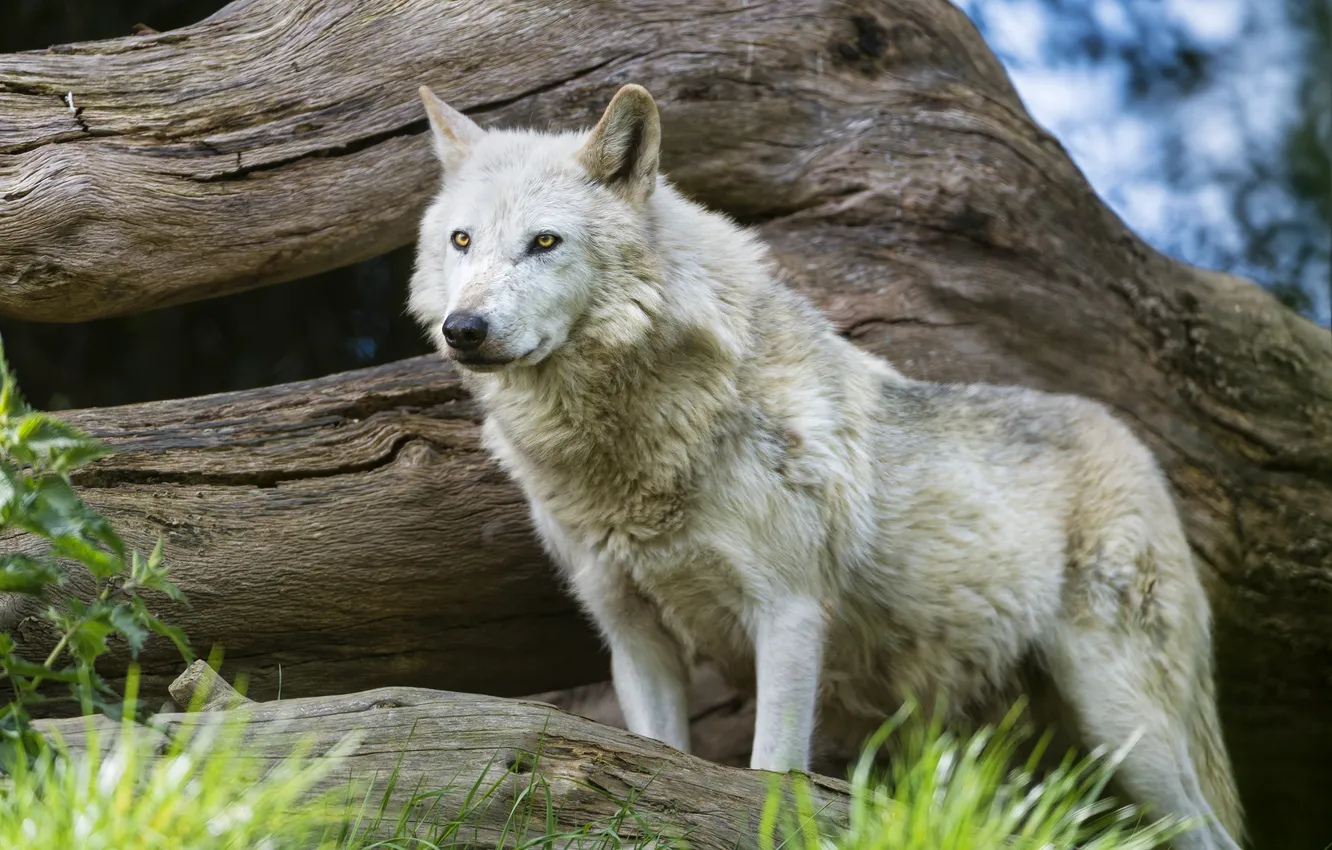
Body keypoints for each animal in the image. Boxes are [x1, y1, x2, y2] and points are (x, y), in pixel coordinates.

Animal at [408, 83, 1244, 850]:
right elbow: (655, 761)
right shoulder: (635, 637)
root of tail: (1134, 444)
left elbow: (770, 777)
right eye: (462, 241)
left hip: (1127, 734)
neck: (643, 439)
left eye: (545, 243)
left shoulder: (788, 613)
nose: (464, 329)